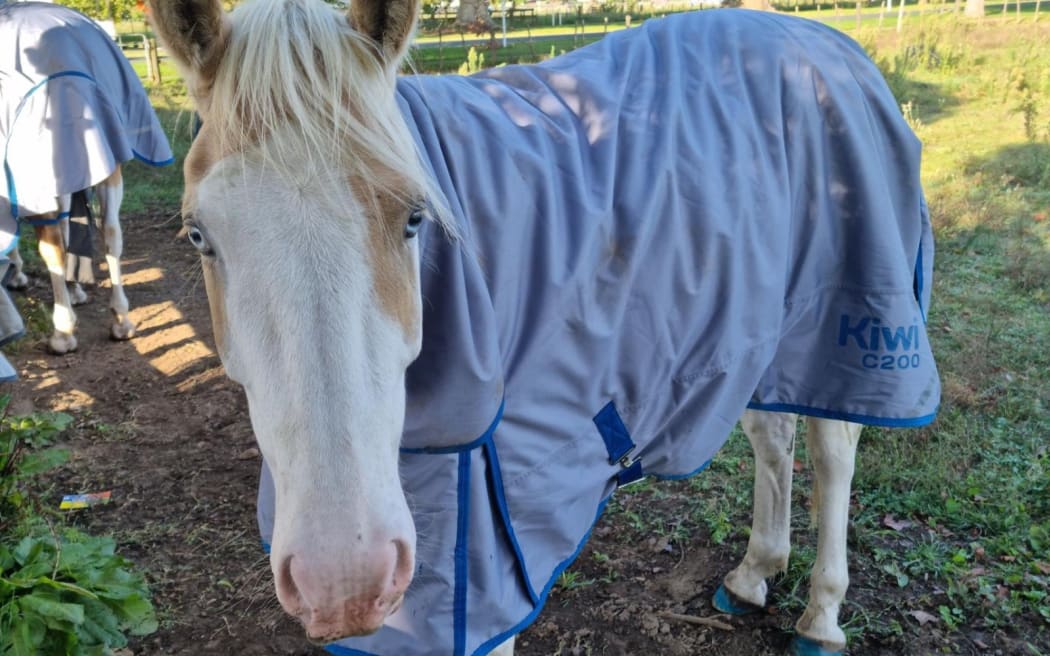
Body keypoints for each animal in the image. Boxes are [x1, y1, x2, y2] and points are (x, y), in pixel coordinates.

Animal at [147, 1, 940, 655]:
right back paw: (752, 576)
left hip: (851, 313)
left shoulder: (484, 565)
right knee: (772, 435)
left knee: (834, 448)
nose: (343, 580)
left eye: (414, 218)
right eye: (198, 235)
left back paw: (821, 616)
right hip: (757, 323)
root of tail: (833, 43)